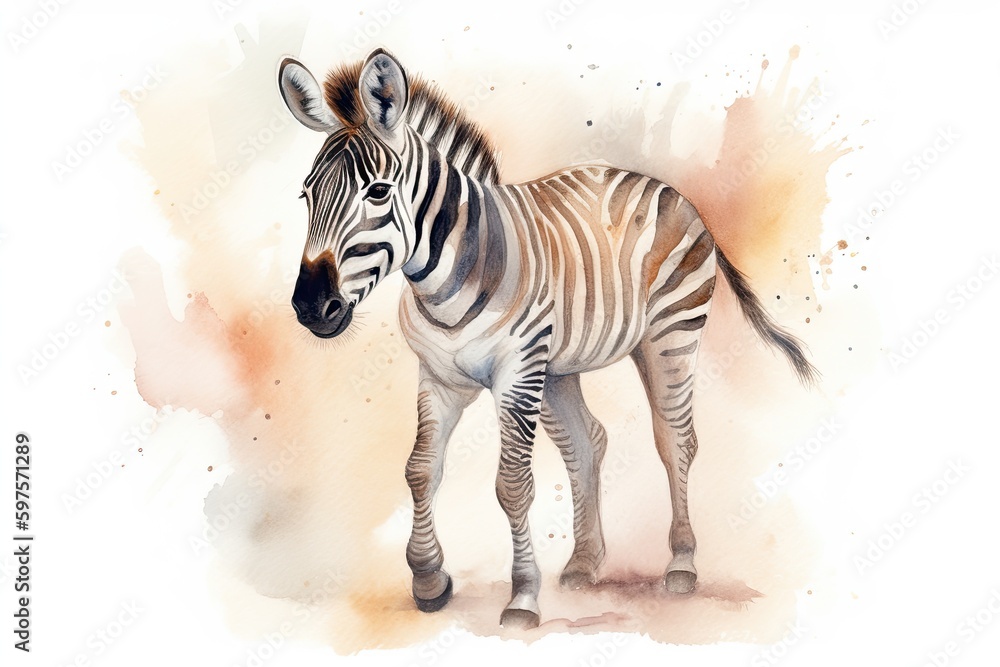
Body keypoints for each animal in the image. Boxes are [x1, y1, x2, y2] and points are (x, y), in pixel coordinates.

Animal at [278, 49, 817, 630]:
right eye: (307, 195)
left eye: (378, 191)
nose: (311, 306)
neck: (446, 277)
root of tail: (668, 189)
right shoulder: (440, 377)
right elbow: (421, 470)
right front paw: (428, 580)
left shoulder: (515, 375)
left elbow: (512, 485)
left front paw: (522, 597)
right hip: (558, 367)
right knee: (588, 441)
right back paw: (583, 562)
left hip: (668, 336)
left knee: (676, 440)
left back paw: (681, 566)